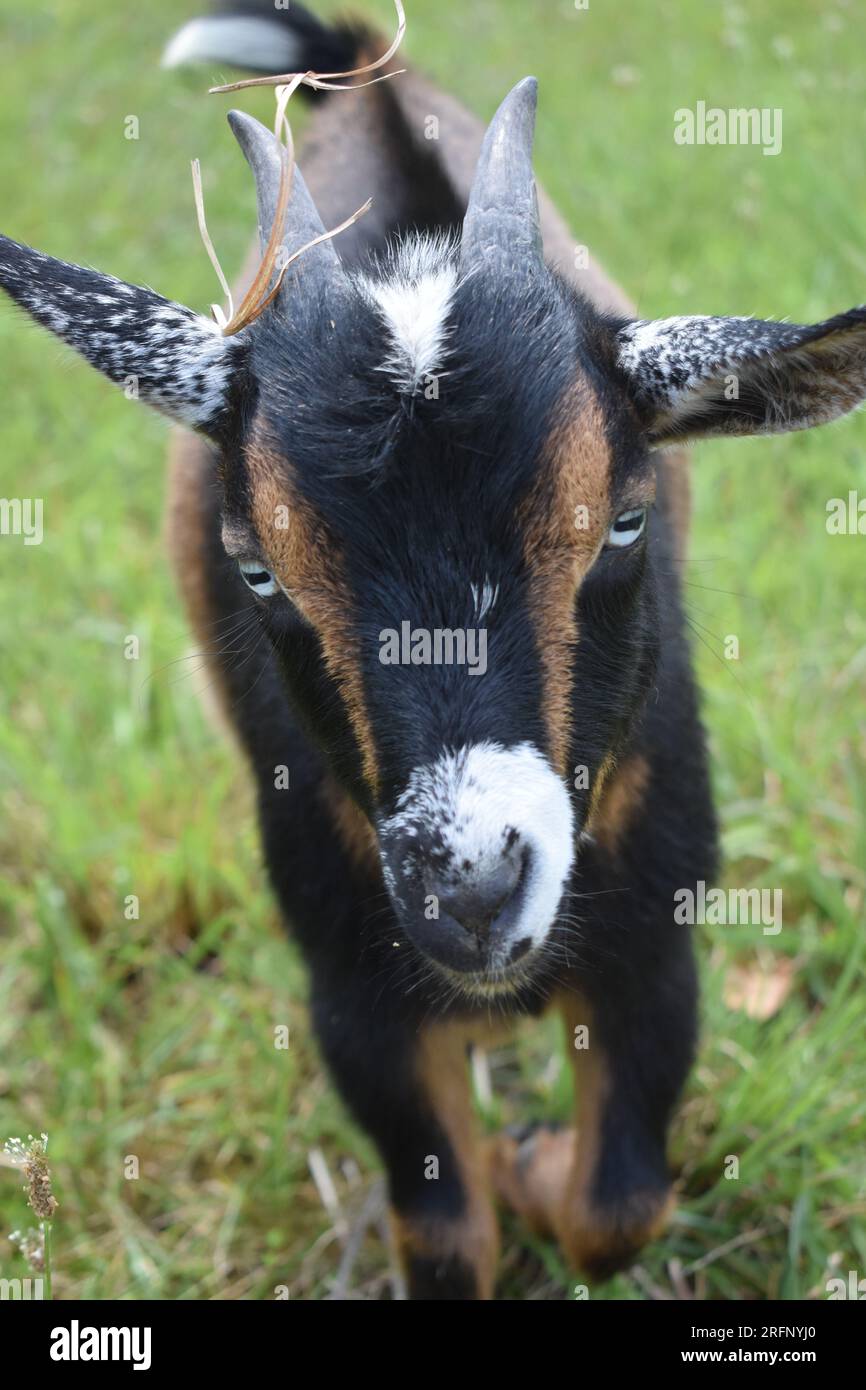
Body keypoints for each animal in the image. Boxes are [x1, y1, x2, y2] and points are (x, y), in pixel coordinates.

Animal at [1, 1, 865, 1300]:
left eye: (623, 520)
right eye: (256, 565)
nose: (468, 889)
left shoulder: (656, 941)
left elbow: (617, 1206)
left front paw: (535, 1159)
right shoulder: (352, 987)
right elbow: (447, 1235)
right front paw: (506, 1171)